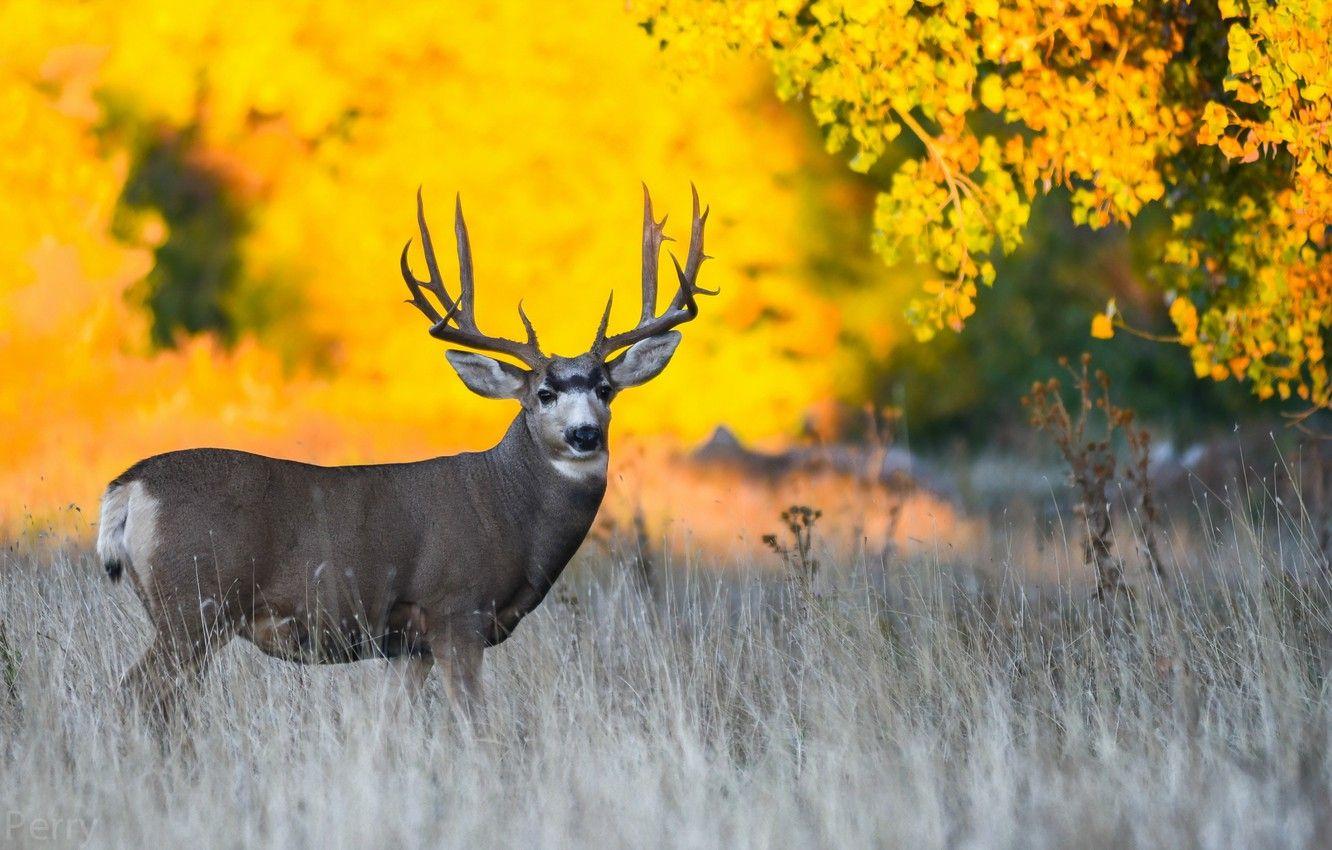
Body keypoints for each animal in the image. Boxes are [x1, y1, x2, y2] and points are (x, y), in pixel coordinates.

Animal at [96, 185, 715, 718]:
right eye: (543, 393)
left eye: (606, 389)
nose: (585, 433)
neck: (509, 511)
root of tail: (131, 483)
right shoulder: (456, 610)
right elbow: (473, 720)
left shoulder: (406, 643)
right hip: (193, 604)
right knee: (137, 692)